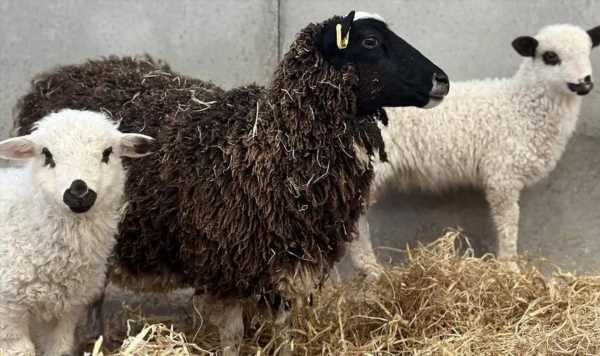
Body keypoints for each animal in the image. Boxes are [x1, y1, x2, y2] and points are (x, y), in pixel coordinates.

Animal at [0, 109, 154, 356]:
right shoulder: (8, 316)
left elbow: (60, 348)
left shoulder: (66, 311)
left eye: (107, 152)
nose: (79, 192)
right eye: (46, 154)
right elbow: (20, 350)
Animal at [346, 24, 600, 276]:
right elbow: (509, 221)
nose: (585, 83)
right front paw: (509, 267)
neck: (520, 107)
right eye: (550, 57)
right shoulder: (503, 175)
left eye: (588, 52)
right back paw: (371, 270)